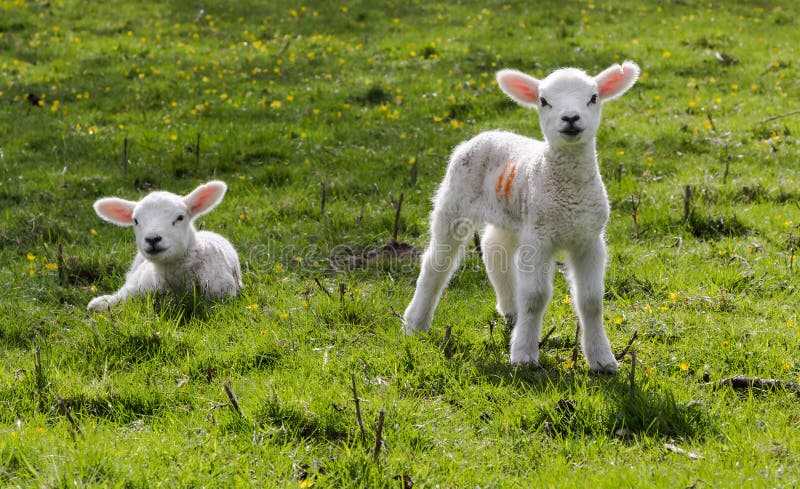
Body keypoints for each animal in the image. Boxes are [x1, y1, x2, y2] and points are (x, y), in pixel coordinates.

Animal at [87, 180, 242, 311]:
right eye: (135, 221)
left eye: (180, 217)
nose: (152, 239)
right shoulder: (139, 283)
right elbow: (122, 296)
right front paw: (101, 303)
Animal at [402, 61, 641, 373]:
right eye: (544, 101)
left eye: (593, 97)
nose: (571, 118)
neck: (569, 195)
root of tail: (488, 133)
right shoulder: (539, 236)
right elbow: (535, 297)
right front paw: (524, 356)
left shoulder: (589, 238)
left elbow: (591, 300)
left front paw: (602, 360)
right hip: (455, 199)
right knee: (437, 262)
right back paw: (414, 324)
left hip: (512, 217)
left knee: (494, 249)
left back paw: (510, 311)